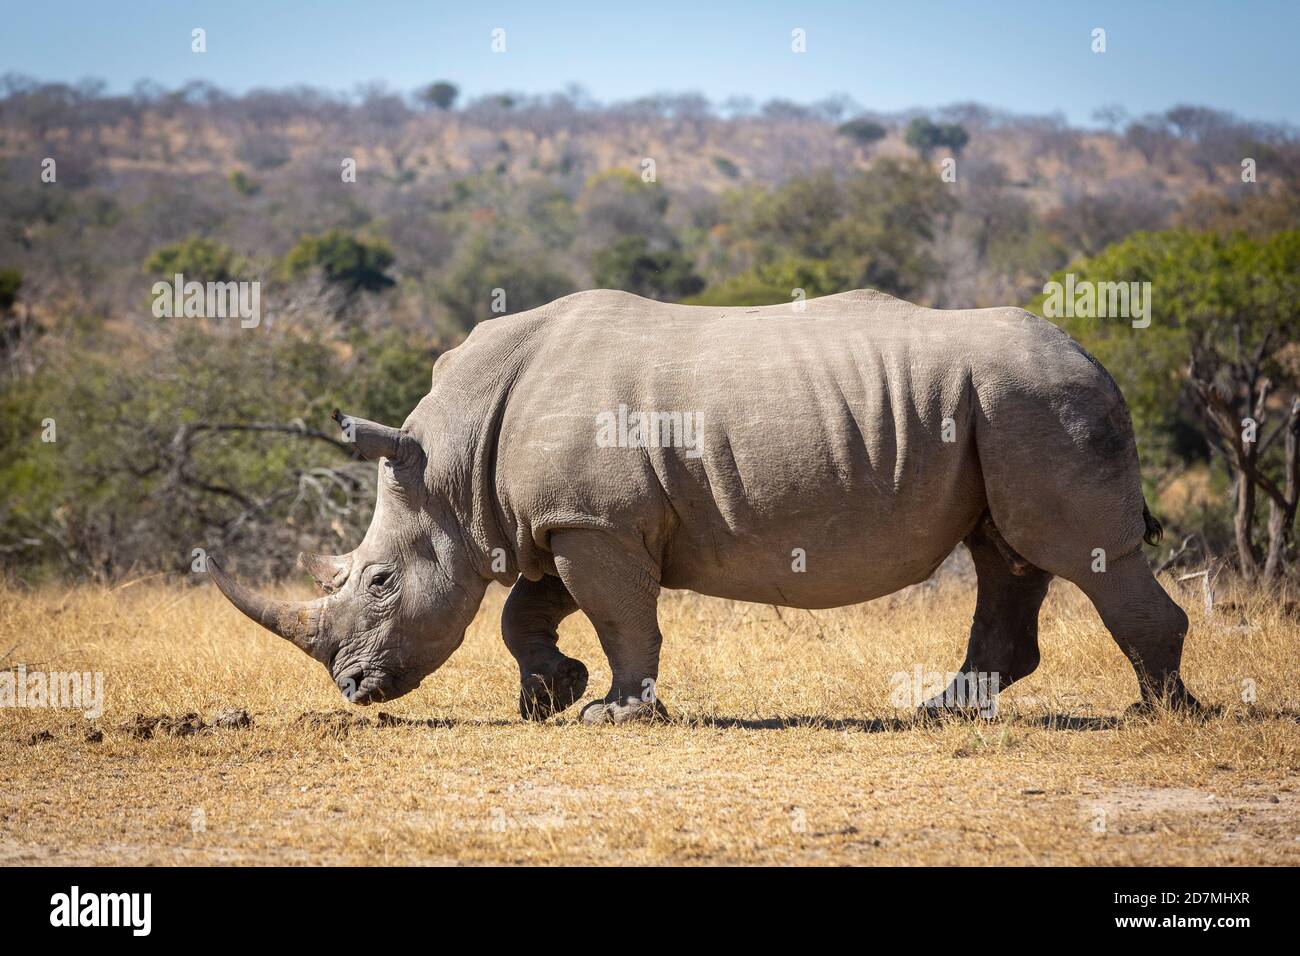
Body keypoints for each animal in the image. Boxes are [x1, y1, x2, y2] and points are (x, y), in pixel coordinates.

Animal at [209, 289, 1200, 722]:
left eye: (378, 581)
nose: (352, 689)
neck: (452, 462)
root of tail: (1097, 359)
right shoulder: (575, 517)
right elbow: (529, 610)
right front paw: (549, 697)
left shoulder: (593, 521)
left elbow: (618, 617)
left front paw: (614, 714)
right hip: (1001, 407)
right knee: (1007, 554)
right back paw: (944, 710)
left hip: (1038, 400)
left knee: (1080, 555)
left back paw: (1160, 716)